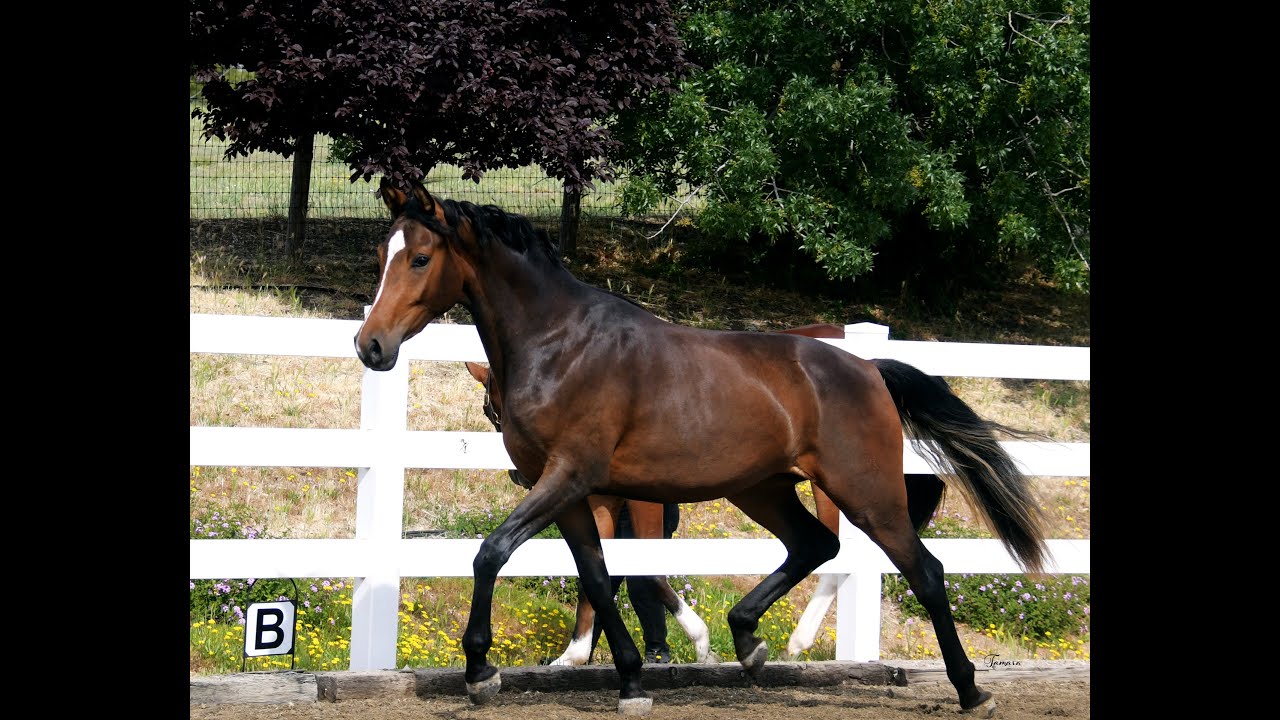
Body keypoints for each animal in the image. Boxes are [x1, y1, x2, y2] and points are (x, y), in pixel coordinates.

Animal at [465, 360, 715, 666]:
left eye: (487, 410)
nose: (518, 475)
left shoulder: (642, 500)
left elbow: (647, 569)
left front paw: (701, 641)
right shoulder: (600, 503)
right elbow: (594, 571)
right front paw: (575, 653)